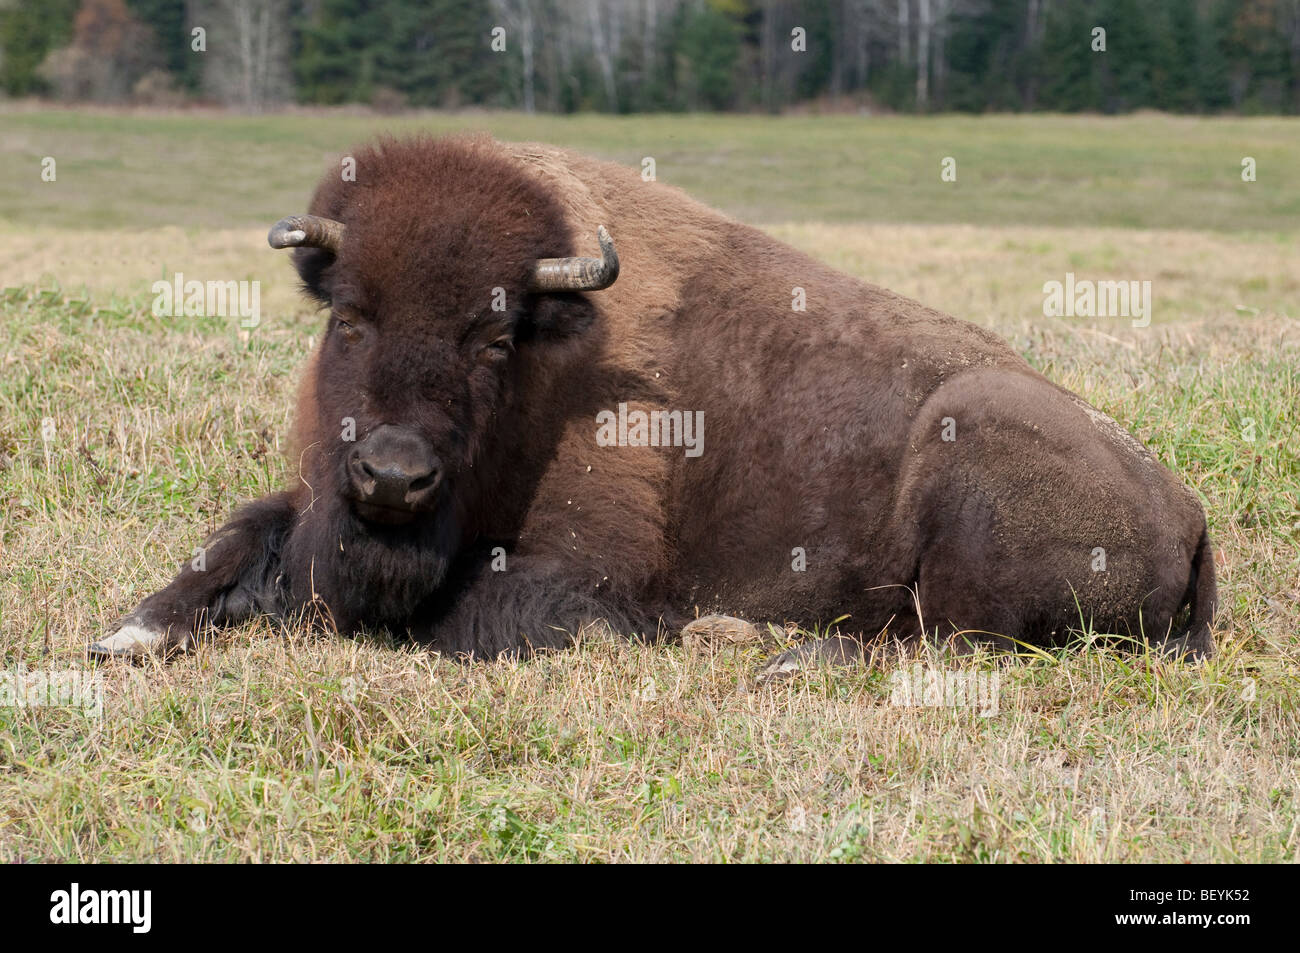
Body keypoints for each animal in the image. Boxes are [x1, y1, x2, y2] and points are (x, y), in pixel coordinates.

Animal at [91, 135, 1216, 671]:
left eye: (493, 336)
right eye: (350, 317)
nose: (393, 475)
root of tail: (1188, 511)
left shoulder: (579, 578)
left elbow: (456, 616)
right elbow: (241, 536)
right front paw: (128, 633)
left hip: (966, 444)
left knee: (947, 638)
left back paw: (768, 652)